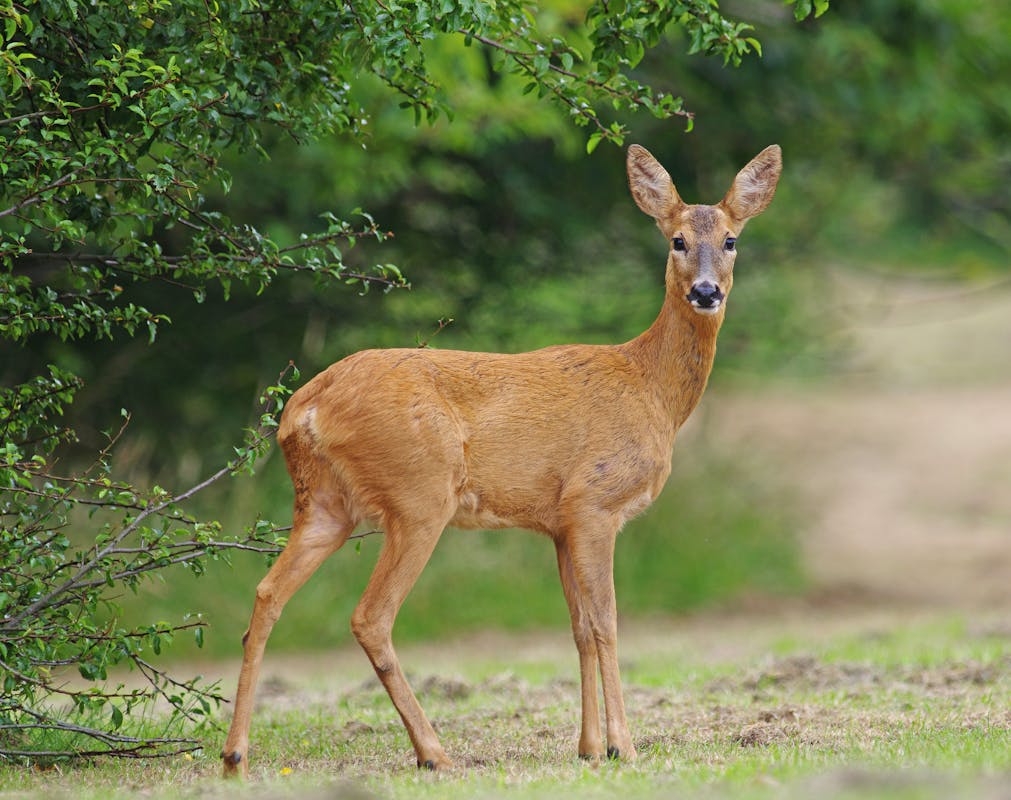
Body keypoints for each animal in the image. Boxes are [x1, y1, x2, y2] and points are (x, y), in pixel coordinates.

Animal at [221, 143, 782, 777]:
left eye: (732, 239)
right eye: (677, 240)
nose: (707, 292)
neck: (650, 388)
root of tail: (304, 410)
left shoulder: (558, 522)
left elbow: (578, 628)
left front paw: (588, 747)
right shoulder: (594, 502)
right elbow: (607, 622)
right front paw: (624, 746)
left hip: (324, 503)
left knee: (266, 595)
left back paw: (235, 756)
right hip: (419, 494)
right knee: (370, 616)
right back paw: (434, 753)